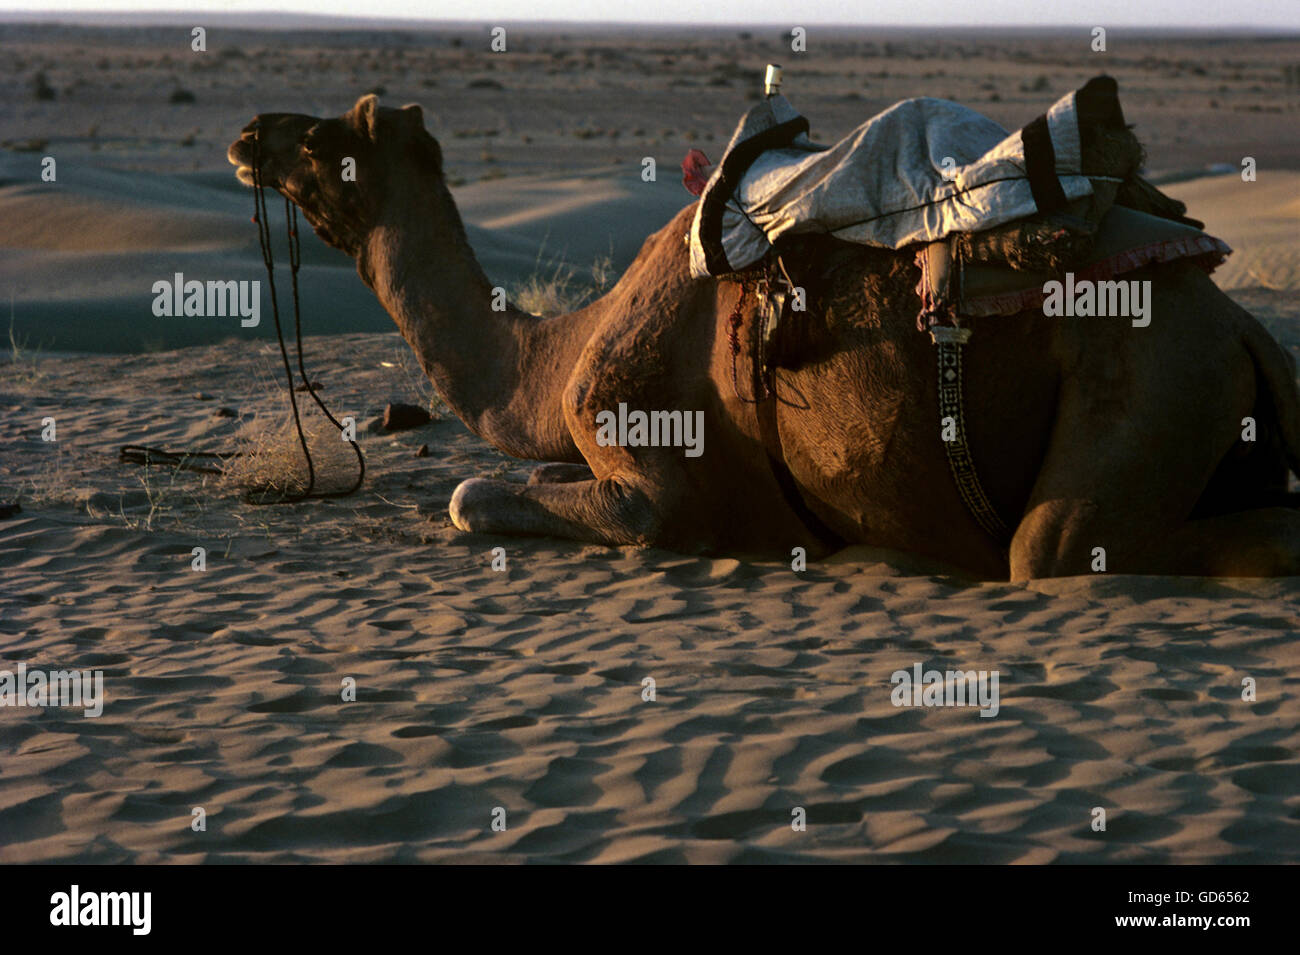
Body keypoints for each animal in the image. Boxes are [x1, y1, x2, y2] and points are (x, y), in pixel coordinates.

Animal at [227, 94, 1300, 580]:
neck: (563, 351)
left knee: (1055, 547)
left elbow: (466, 496)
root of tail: (1246, 329)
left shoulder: (651, 489)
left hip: (1150, 385)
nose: (247, 135)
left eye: (320, 143)